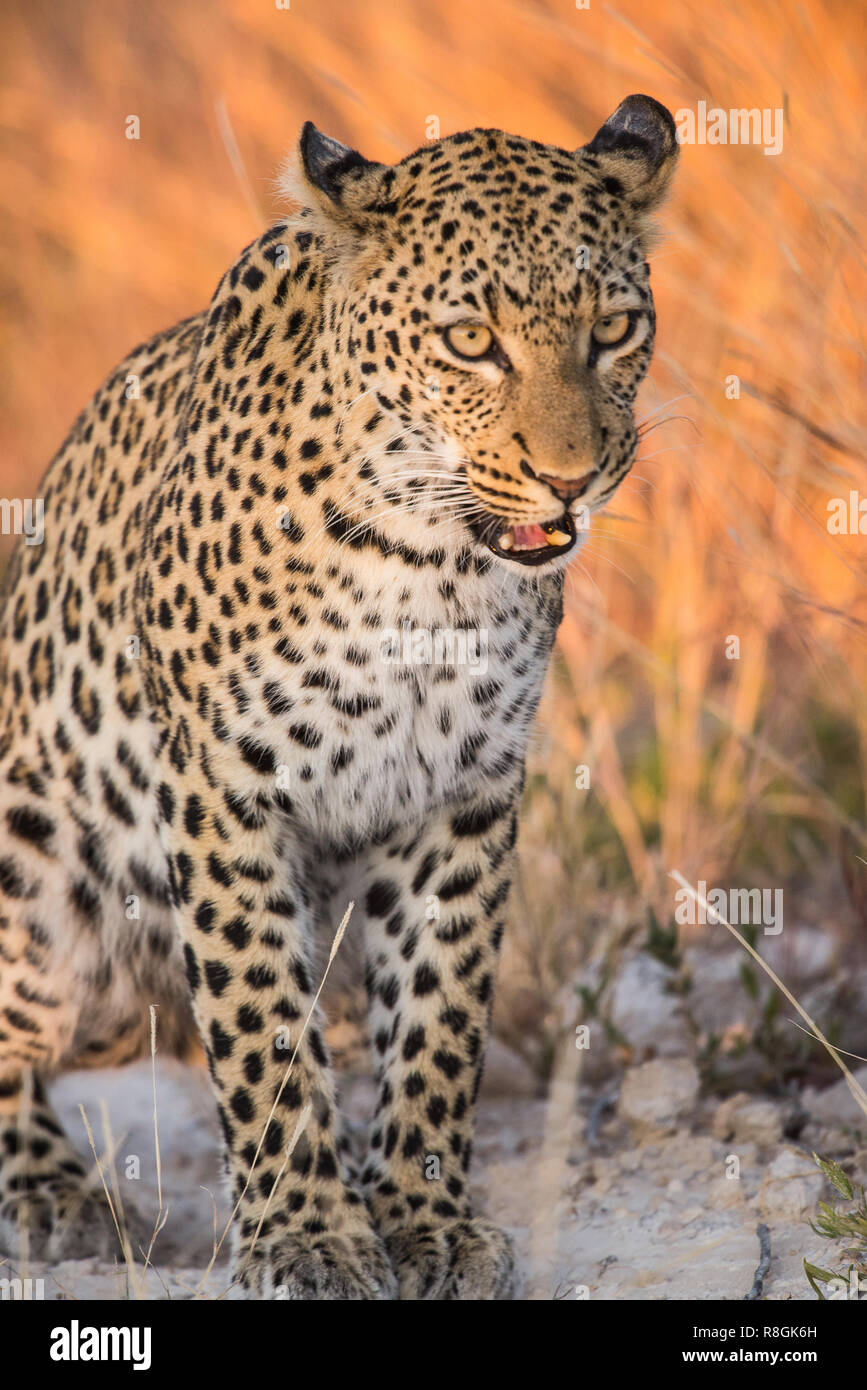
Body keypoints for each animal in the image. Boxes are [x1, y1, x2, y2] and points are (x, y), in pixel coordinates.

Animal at [0, 94, 677, 1299]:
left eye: (612, 328)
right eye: (471, 342)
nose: (569, 480)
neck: (429, 568)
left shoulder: (466, 792)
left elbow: (441, 1021)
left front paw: (424, 1221)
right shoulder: (223, 790)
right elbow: (261, 1019)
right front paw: (310, 1237)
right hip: (31, 867)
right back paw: (51, 1191)